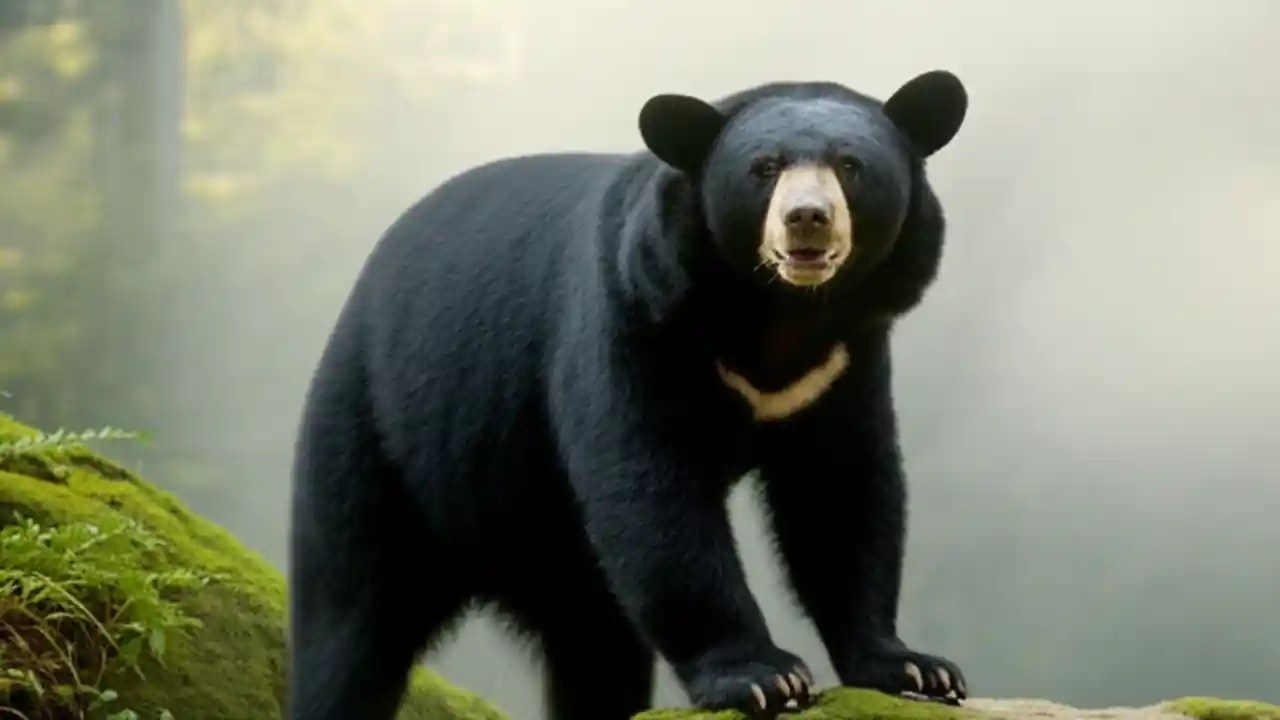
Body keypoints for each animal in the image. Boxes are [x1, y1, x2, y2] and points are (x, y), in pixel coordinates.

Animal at [286, 69, 970, 720]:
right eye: (764, 168)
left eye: (850, 166)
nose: (807, 219)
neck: (780, 314)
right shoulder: (635, 323)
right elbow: (653, 495)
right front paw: (762, 678)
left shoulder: (844, 366)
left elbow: (842, 497)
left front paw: (915, 669)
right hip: (377, 438)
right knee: (350, 620)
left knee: (595, 644)